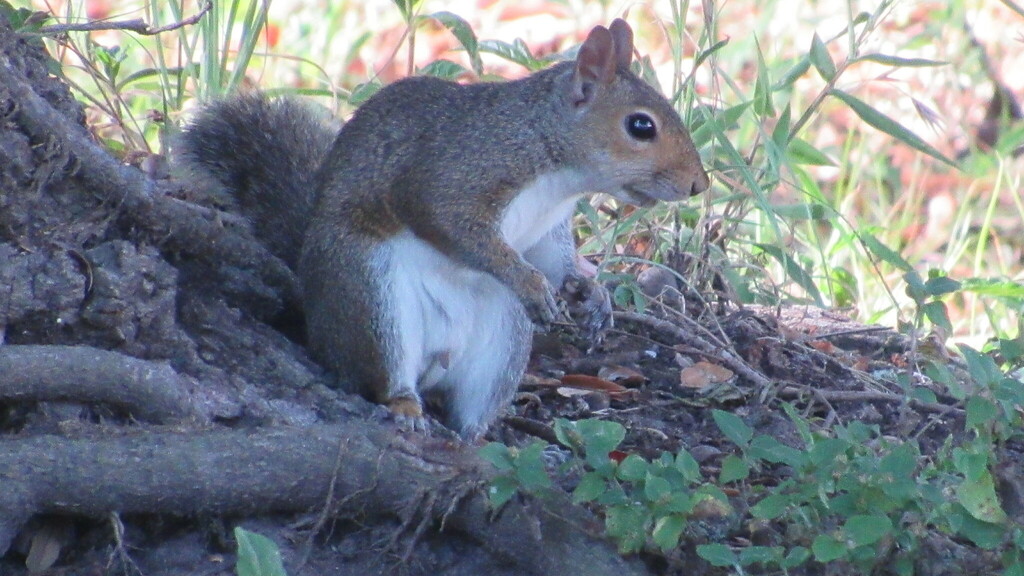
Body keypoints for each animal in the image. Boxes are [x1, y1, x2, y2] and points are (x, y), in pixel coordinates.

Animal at [176, 19, 710, 439]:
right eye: (641, 126)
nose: (699, 185)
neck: (553, 165)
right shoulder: (457, 175)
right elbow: (452, 224)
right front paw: (531, 283)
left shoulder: (546, 226)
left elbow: (554, 258)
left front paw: (591, 295)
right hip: (371, 295)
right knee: (383, 375)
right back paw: (406, 407)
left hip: (501, 342)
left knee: (470, 407)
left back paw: (478, 436)